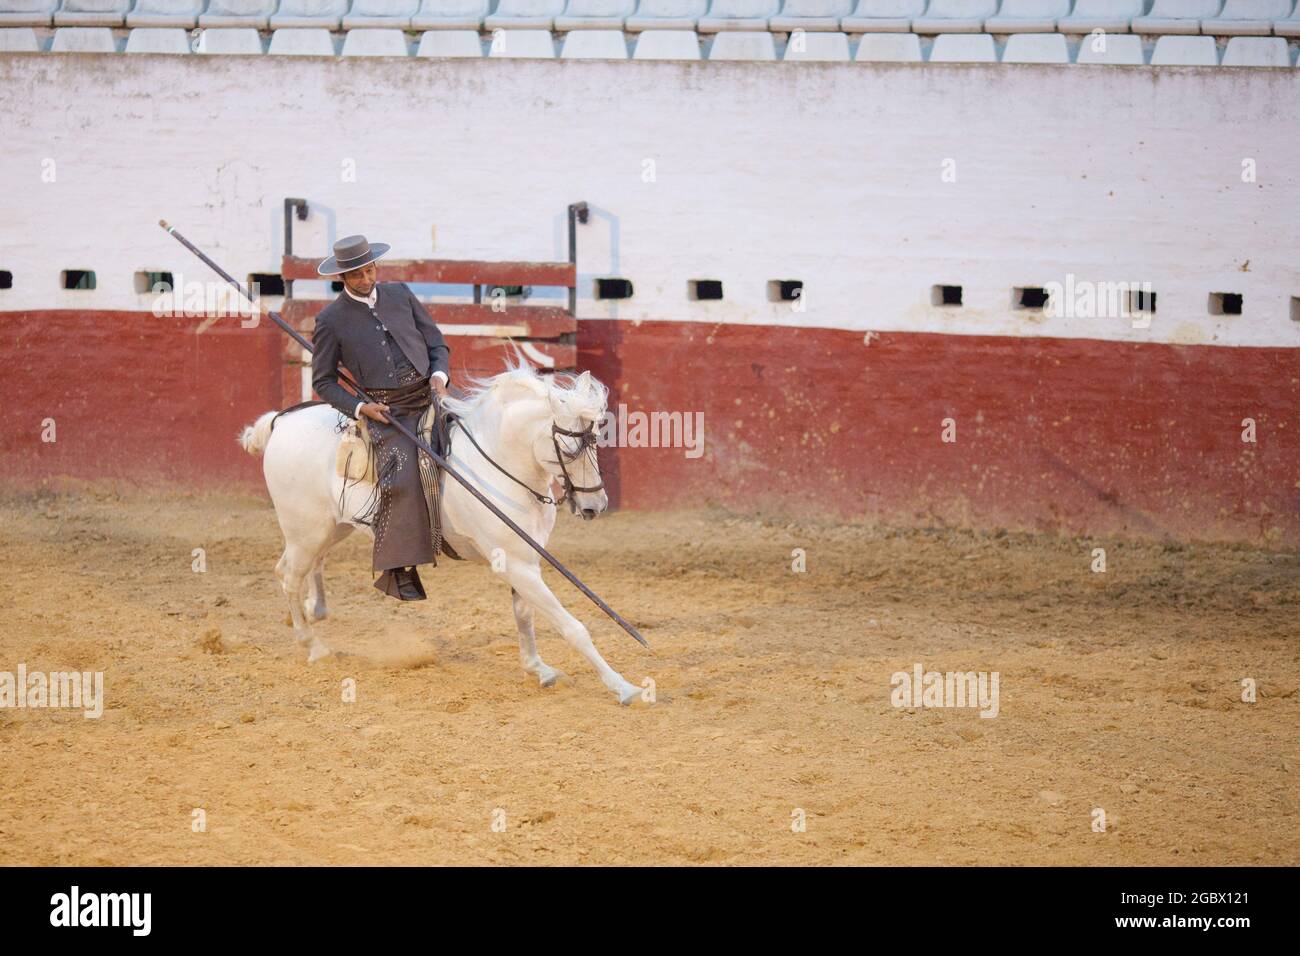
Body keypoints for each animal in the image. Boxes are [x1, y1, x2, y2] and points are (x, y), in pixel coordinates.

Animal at [237, 363, 643, 705]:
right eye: (570, 448)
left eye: (596, 440)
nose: (595, 506)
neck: (497, 466)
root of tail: (282, 421)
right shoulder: (516, 564)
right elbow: (571, 626)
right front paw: (624, 687)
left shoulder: (526, 560)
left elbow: (524, 614)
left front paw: (537, 668)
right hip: (306, 528)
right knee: (288, 576)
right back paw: (314, 646)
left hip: (331, 527)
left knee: (307, 566)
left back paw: (315, 609)